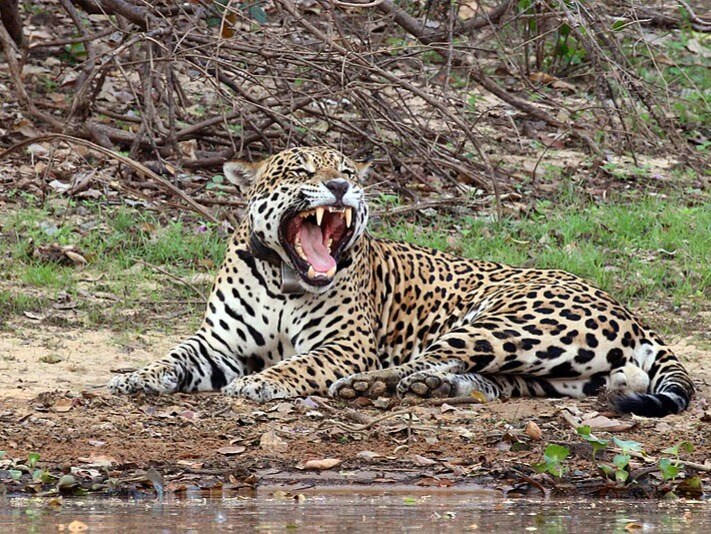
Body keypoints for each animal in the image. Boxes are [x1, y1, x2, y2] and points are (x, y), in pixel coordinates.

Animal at [108, 146, 694, 417]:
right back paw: (435, 389)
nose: (340, 186)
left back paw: (369, 387)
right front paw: (134, 376)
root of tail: (629, 309)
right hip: (556, 372)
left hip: (508, 323)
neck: (282, 278)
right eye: (300, 171)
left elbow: (301, 364)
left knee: (427, 359)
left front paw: (262, 382)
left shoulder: (344, 346)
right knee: (487, 381)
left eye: (346, 170)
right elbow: (174, 354)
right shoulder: (218, 345)